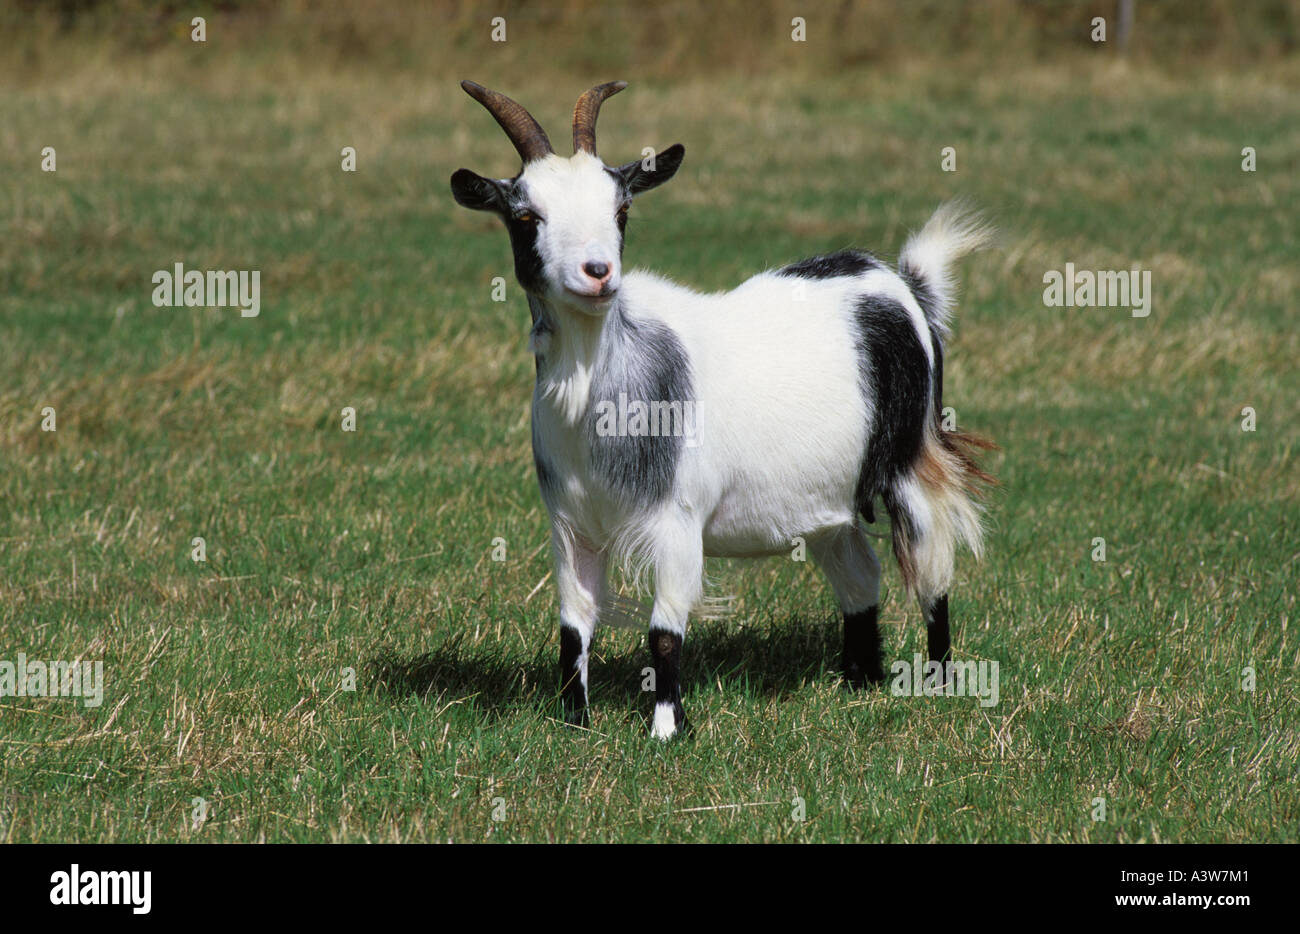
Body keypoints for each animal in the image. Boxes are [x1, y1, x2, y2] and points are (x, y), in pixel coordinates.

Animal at [450, 80, 994, 740]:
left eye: (620, 211)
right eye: (526, 216)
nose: (598, 272)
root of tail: (903, 285)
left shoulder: (677, 520)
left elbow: (664, 631)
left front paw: (665, 731)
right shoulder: (571, 524)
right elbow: (574, 624)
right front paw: (573, 721)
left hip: (912, 460)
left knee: (934, 569)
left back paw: (939, 683)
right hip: (827, 498)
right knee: (859, 573)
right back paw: (857, 680)